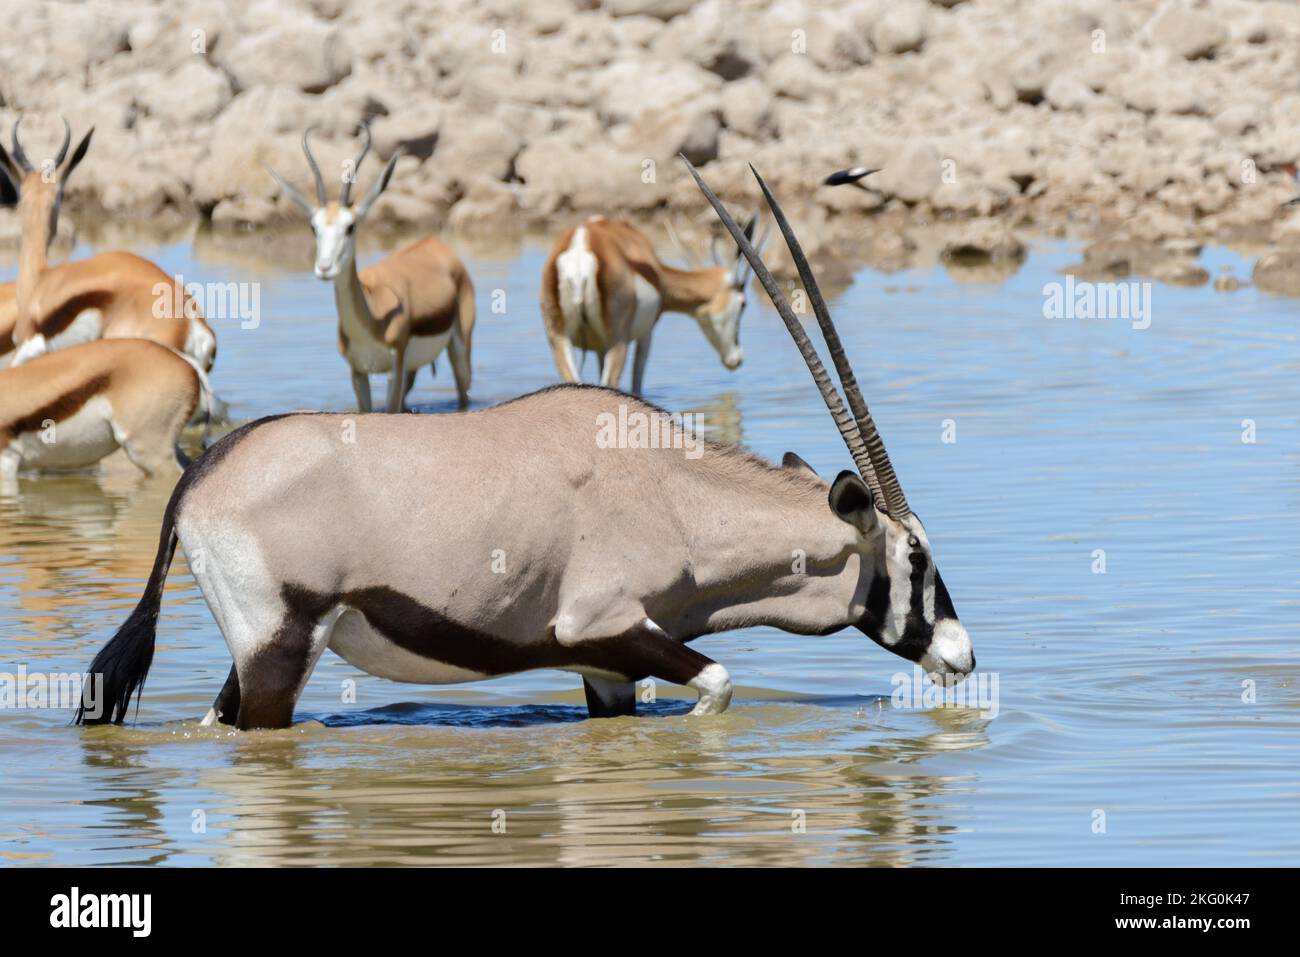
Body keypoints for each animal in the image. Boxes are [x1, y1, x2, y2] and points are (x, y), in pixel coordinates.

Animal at [268, 126, 475, 412]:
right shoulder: (359, 372)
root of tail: (434, 244)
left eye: (350, 226)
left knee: (464, 394)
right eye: (313, 227)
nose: (325, 267)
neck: (373, 315)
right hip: (411, 370)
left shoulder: (394, 368)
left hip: (459, 350)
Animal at [540, 213, 766, 395]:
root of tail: (580, 245)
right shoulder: (647, 335)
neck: (657, 273)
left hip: (559, 339)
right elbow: (637, 386)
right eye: (743, 304)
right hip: (618, 343)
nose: (736, 358)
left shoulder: (600, 348)